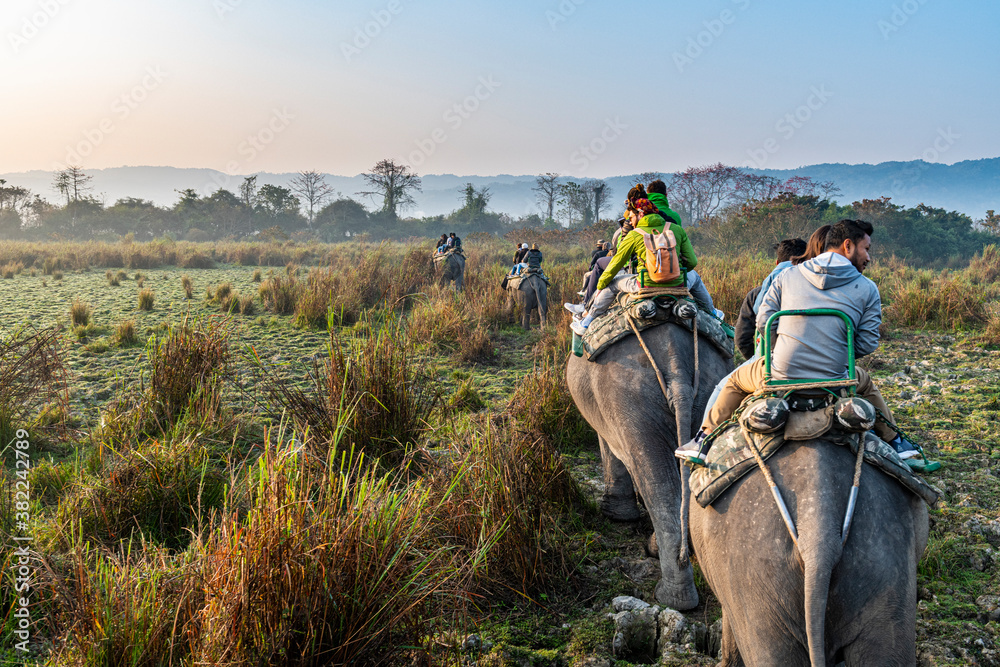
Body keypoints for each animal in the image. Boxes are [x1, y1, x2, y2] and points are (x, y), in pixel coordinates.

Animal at [567, 322, 732, 610]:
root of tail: (677, 369)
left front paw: (615, 516)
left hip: (628, 398)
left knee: (657, 482)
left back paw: (671, 597)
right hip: (709, 396)